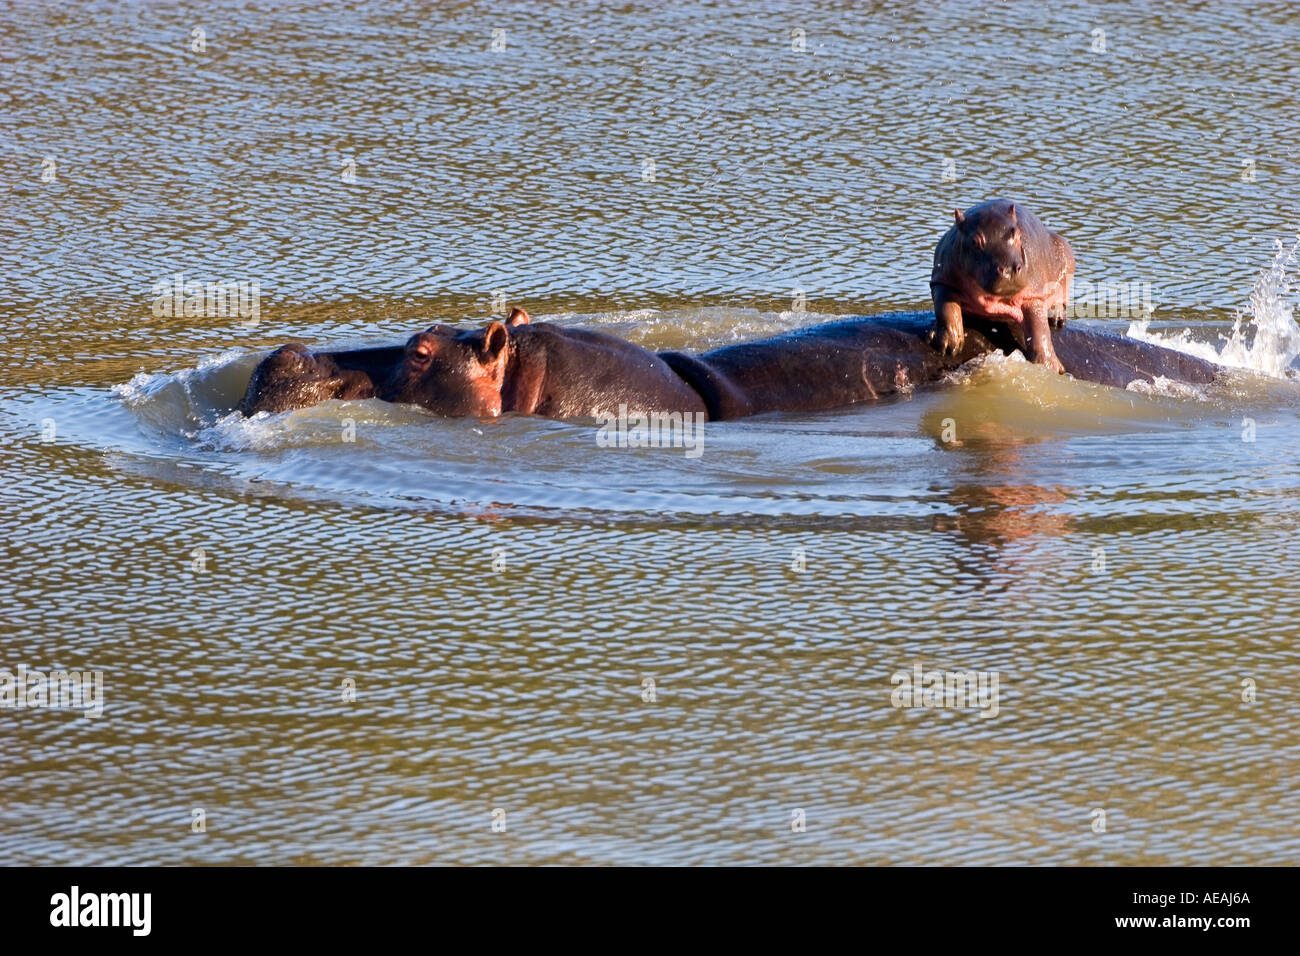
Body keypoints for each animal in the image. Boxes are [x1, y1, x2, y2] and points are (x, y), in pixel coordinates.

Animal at [929, 200, 1075, 374]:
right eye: (974, 241)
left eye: (1018, 235)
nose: (1008, 269)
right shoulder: (942, 278)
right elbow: (946, 307)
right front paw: (949, 344)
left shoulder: (1032, 293)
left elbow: (1039, 328)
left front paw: (1048, 367)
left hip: (1065, 256)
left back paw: (1056, 318)